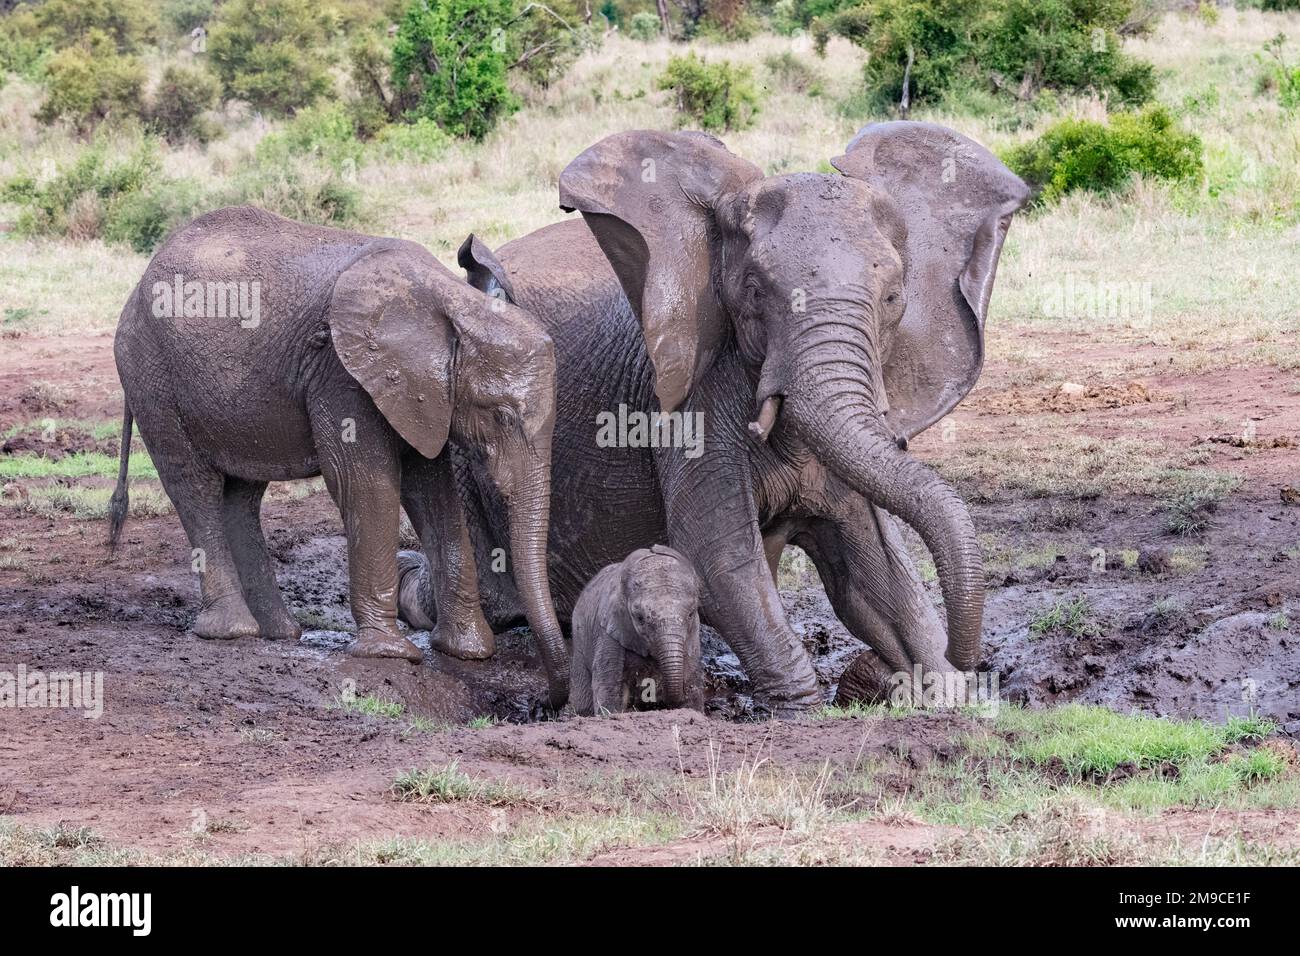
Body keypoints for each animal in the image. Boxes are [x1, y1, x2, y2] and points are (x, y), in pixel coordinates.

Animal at [109, 205, 571, 705]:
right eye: (501, 415)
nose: (546, 703)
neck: (449, 300)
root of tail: (136, 286)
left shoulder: (421, 394)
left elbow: (432, 490)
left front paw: (467, 652)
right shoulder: (342, 371)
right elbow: (365, 485)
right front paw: (389, 654)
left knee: (242, 495)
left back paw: (279, 633)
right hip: (150, 373)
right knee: (194, 486)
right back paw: (233, 632)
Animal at [569, 545, 703, 715]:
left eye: (691, 614)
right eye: (639, 618)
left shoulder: (693, 635)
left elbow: (692, 683)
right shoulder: (608, 630)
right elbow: (607, 684)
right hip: (579, 640)